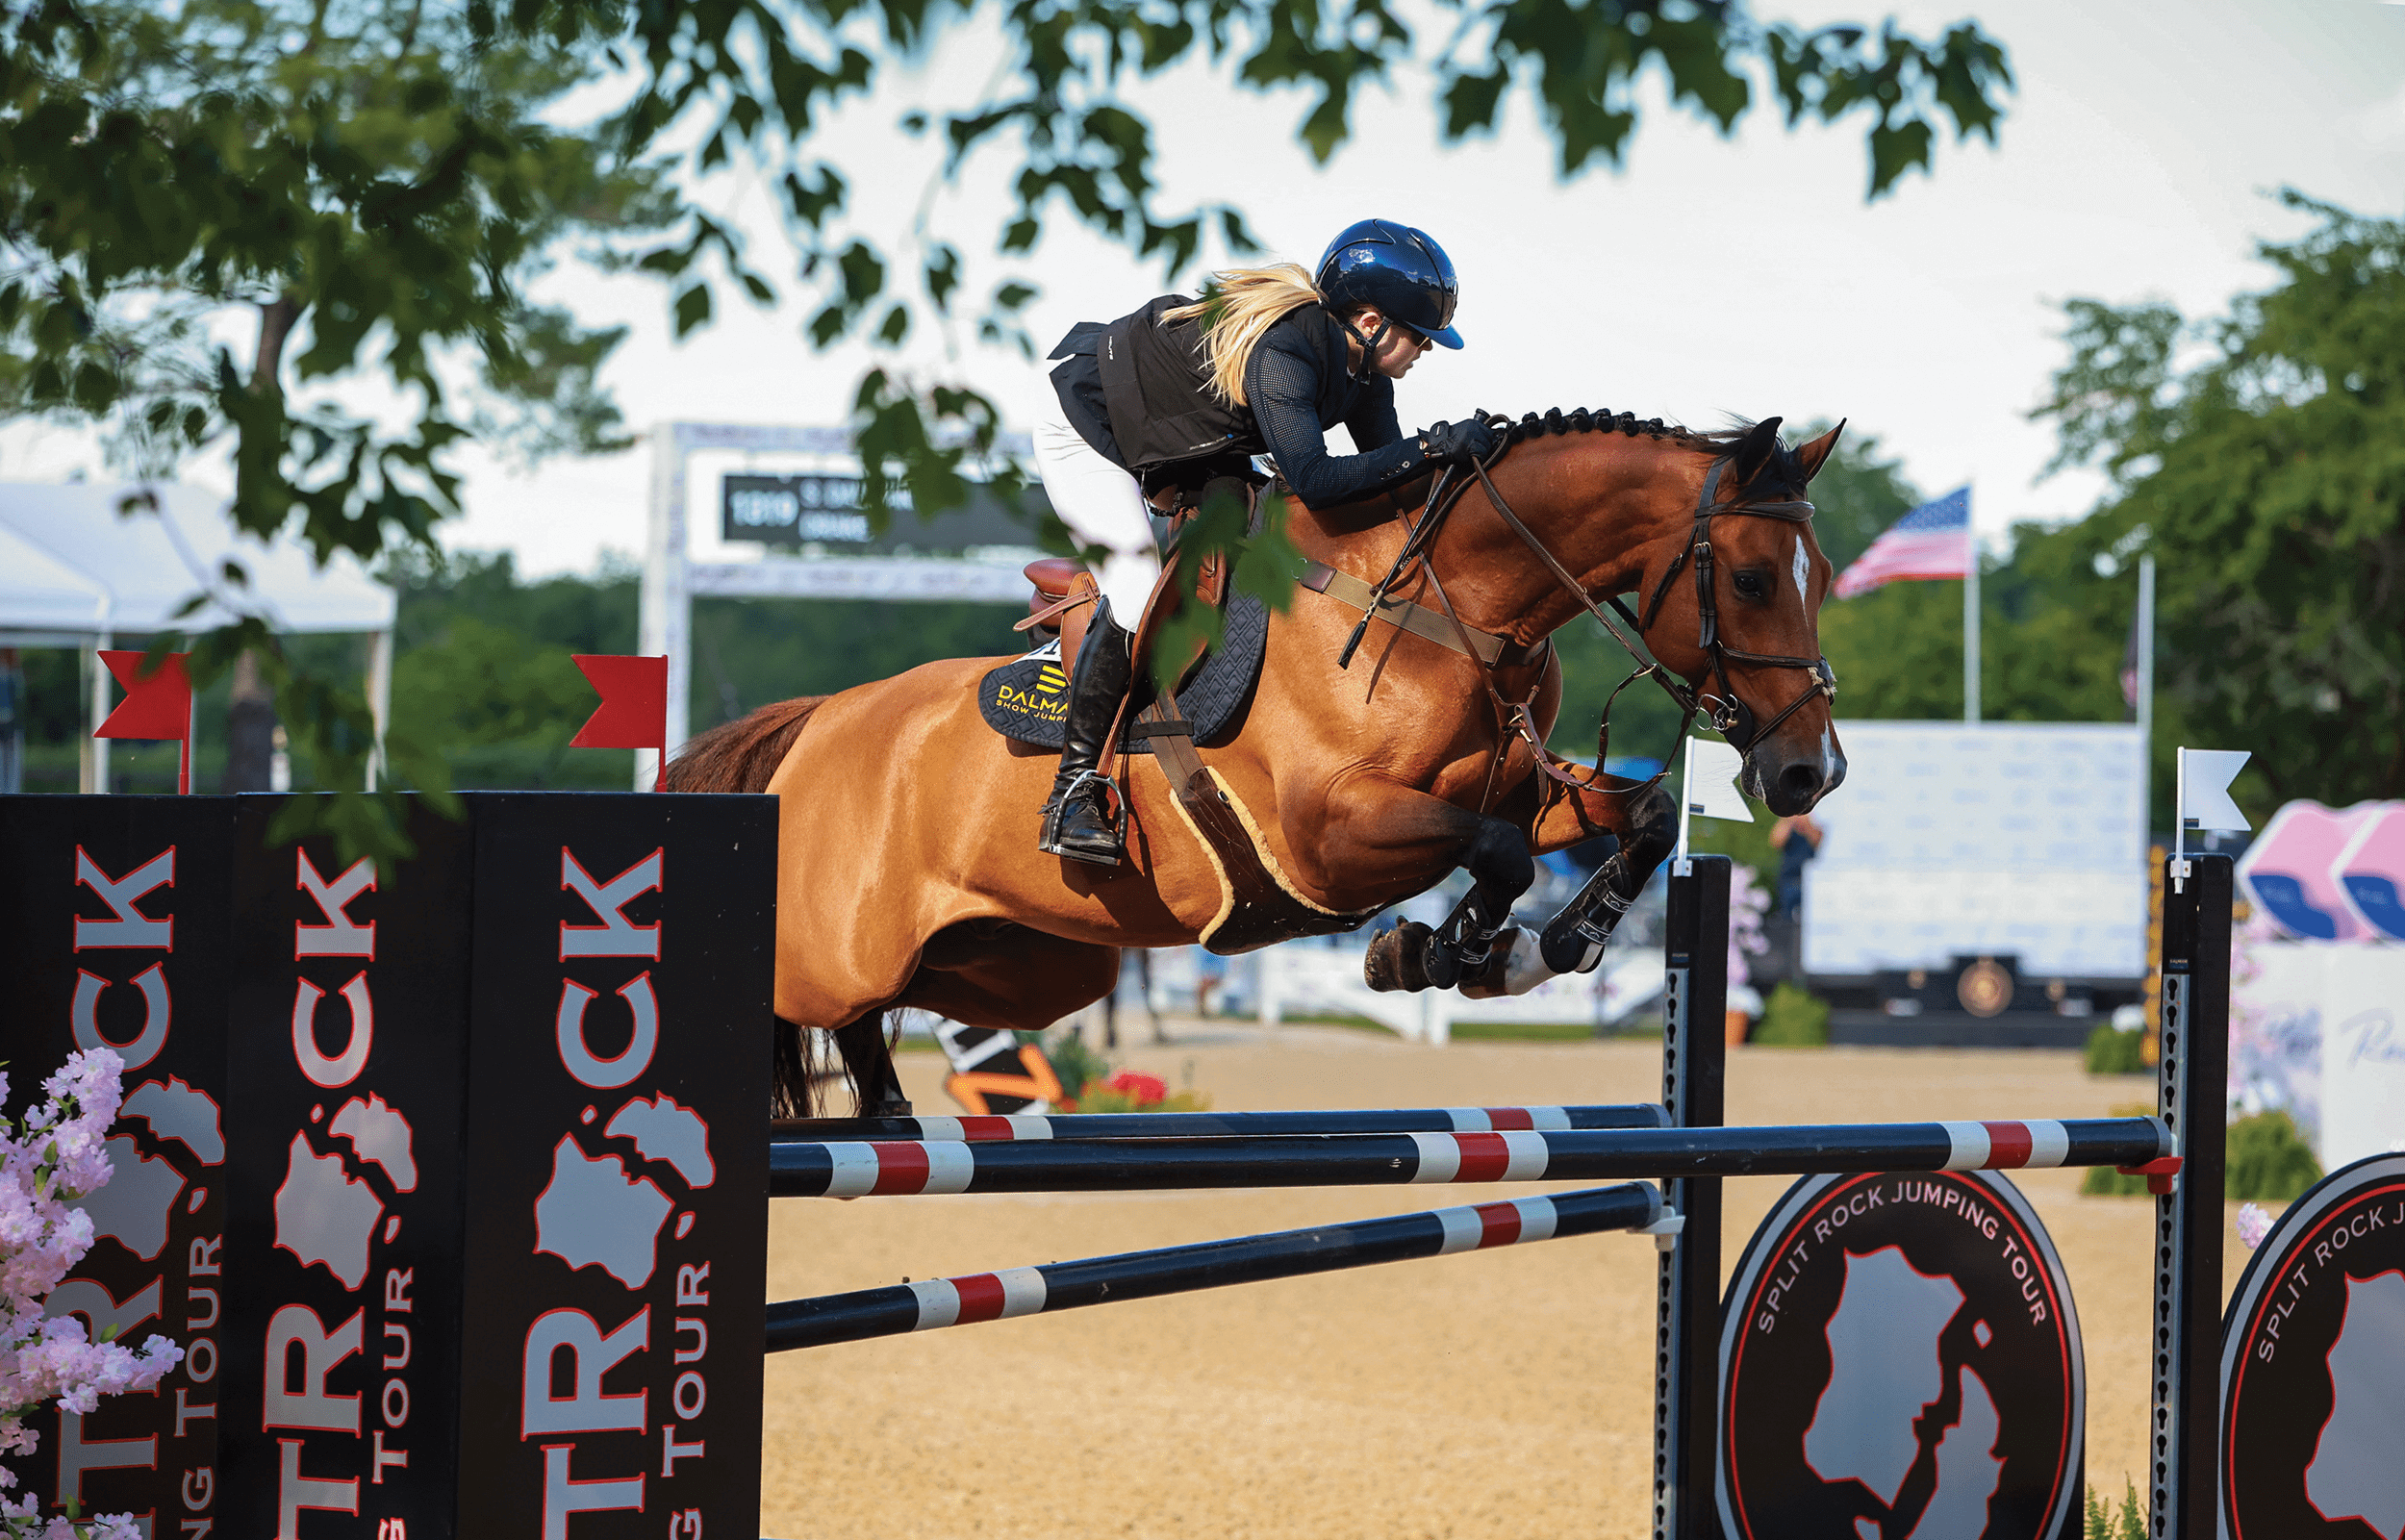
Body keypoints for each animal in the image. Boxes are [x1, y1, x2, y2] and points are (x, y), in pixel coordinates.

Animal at [666, 410, 1848, 1114]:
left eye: (1823, 575)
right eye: (1751, 578)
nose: (1810, 775)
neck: (1447, 606)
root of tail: (822, 719)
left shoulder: (1518, 782)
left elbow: (1631, 820)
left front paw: (1543, 945)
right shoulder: (1329, 834)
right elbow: (1497, 853)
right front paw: (1443, 951)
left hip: (1030, 960)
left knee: (891, 1020)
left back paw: (900, 1116)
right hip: (834, 949)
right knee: (827, 1006)